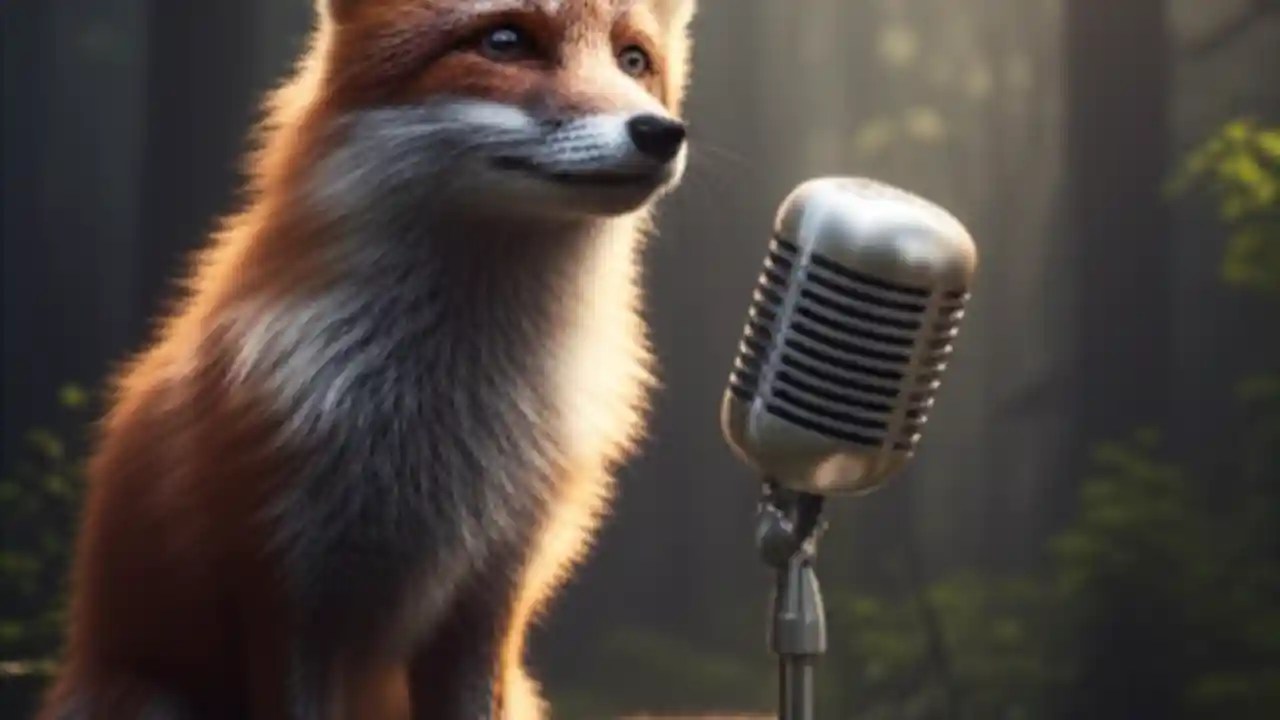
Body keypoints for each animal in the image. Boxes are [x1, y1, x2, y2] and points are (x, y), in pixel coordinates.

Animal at [37, 0, 697, 718]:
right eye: (504, 41)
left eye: (634, 60)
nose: (662, 133)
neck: (447, 418)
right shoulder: (285, 586)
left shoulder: (488, 597)